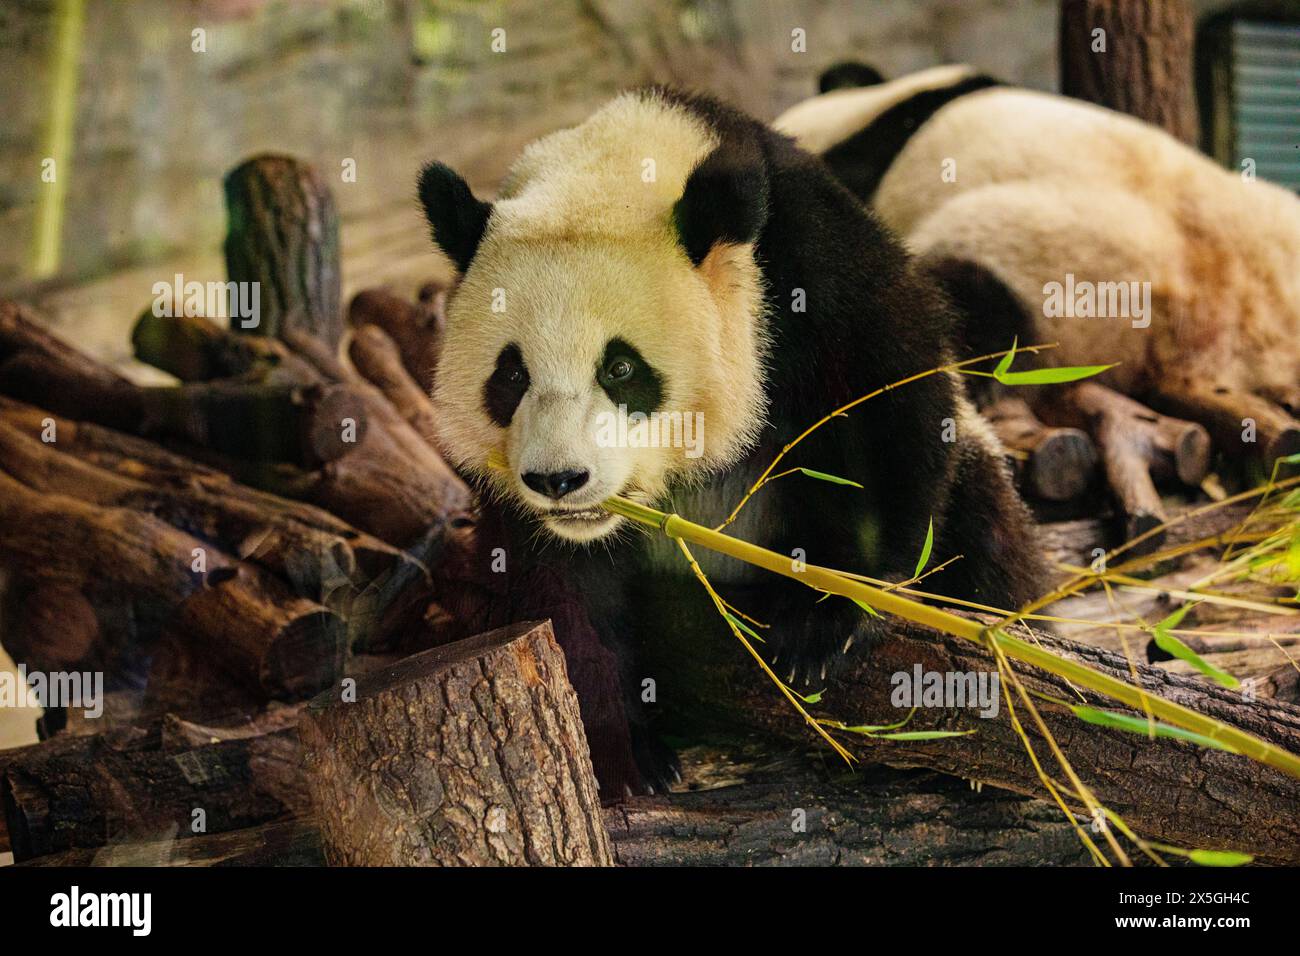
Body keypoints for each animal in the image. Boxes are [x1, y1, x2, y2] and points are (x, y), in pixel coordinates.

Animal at [417, 87, 1046, 800]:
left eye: (621, 368)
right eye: (512, 375)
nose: (559, 480)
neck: (630, 159)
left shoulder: (804, 265)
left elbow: (884, 391)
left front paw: (821, 619)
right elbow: (556, 595)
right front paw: (627, 753)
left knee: (987, 535)